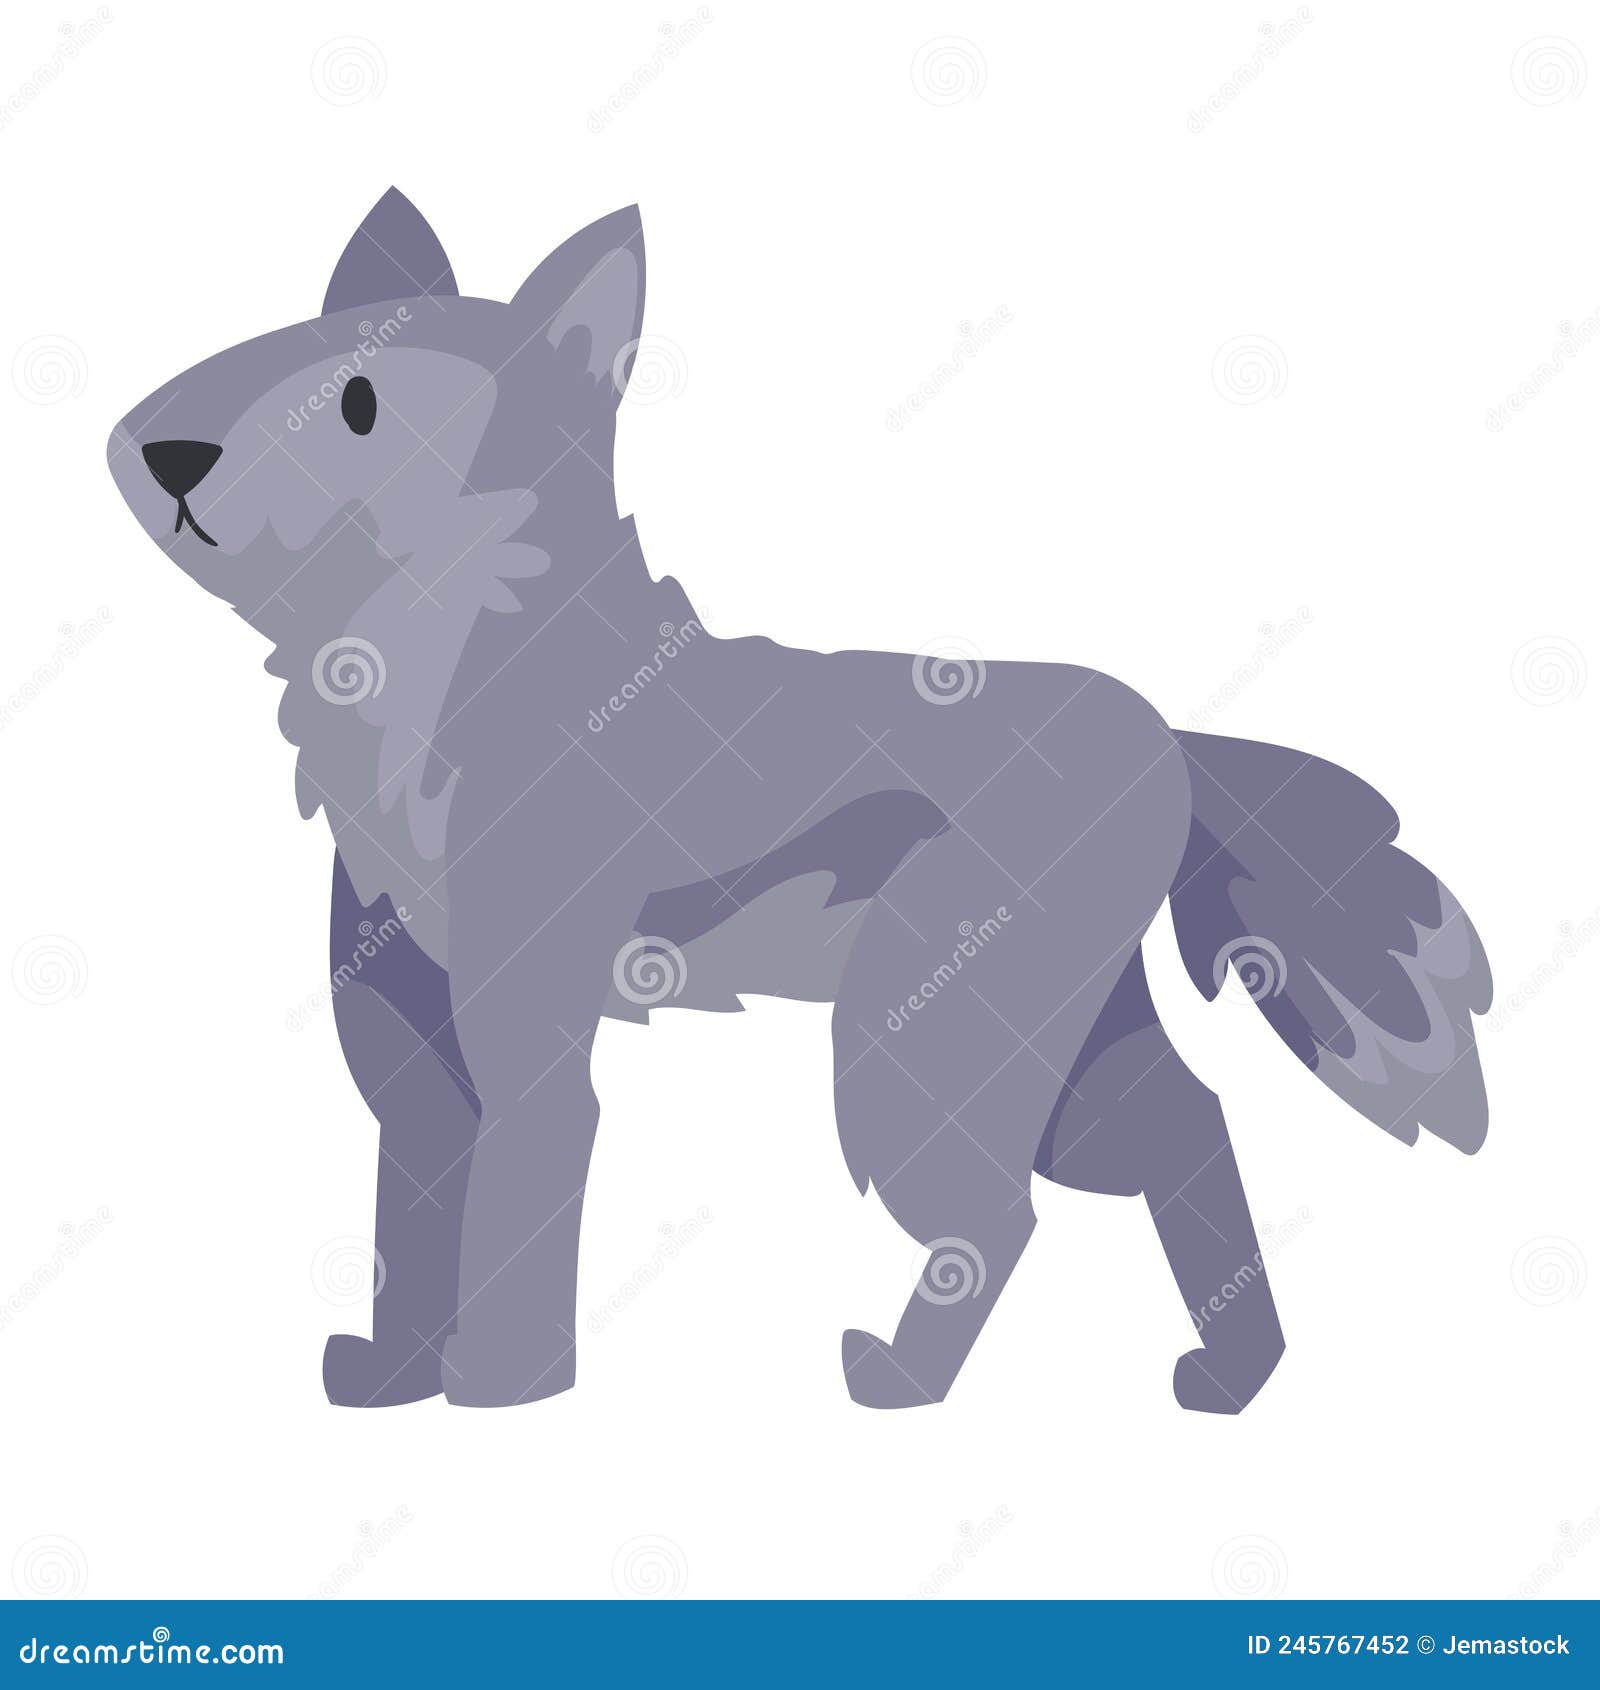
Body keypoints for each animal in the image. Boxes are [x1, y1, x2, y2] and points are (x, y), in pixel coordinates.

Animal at [107, 189, 1492, 1413]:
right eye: (253, 353)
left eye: (357, 405)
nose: (163, 451)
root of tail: (1162, 731)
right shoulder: (407, 1043)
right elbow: (412, 1218)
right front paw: (395, 1383)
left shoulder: (527, 1034)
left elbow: (511, 1216)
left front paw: (499, 1390)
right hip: (1053, 1051)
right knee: (1187, 1130)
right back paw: (1233, 1378)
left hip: (908, 1048)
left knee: (1004, 1212)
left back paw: (904, 1385)